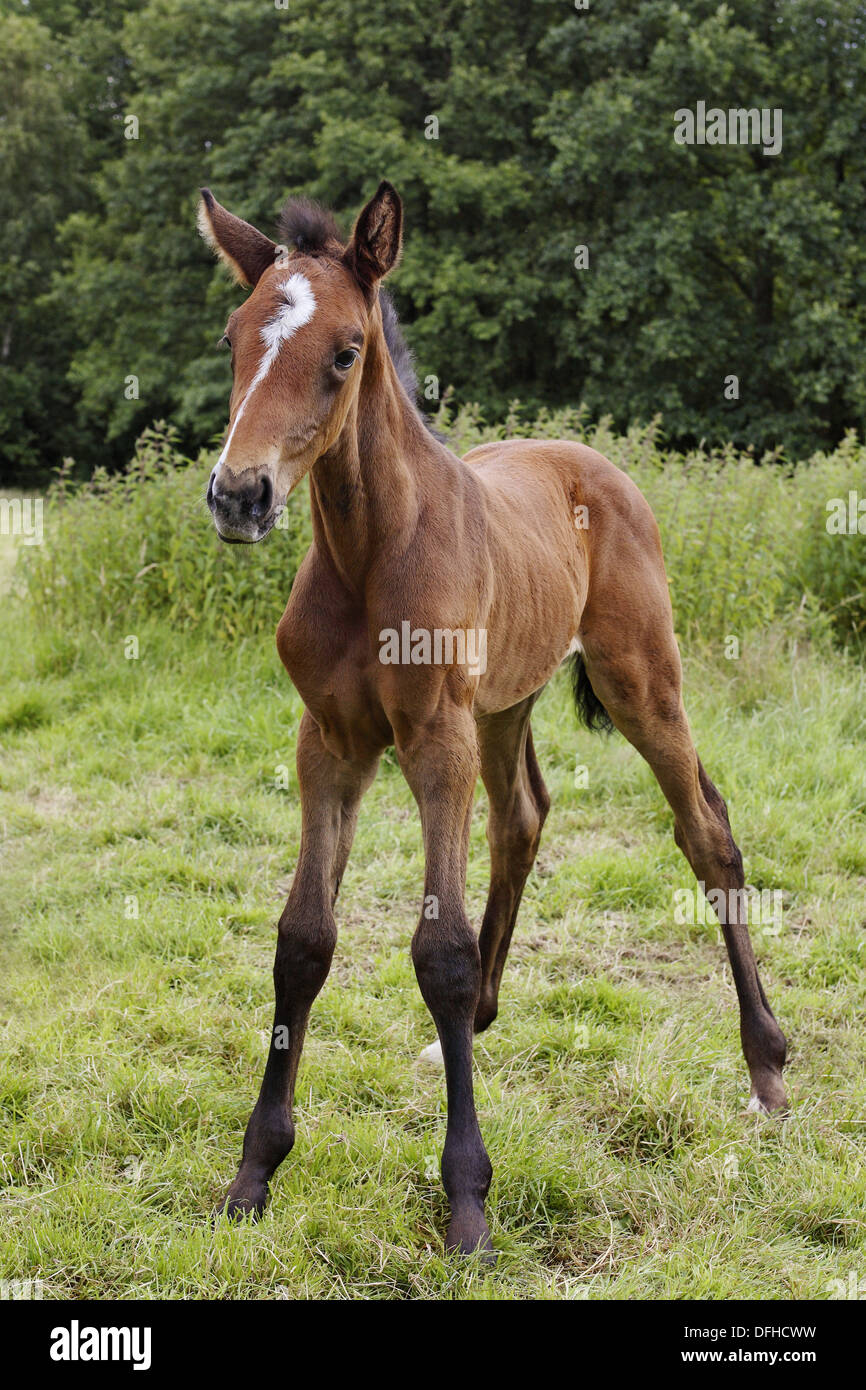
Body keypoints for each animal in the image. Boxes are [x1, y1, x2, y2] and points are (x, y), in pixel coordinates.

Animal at [197, 180, 787, 1257]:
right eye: (233, 337)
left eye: (345, 350)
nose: (240, 495)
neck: (370, 553)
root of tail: (589, 460)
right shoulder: (330, 743)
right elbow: (303, 940)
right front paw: (253, 1173)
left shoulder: (435, 739)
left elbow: (440, 947)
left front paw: (467, 1201)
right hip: (506, 703)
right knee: (524, 818)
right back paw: (466, 1034)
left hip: (640, 678)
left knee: (707, 832)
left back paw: (765, 1065)